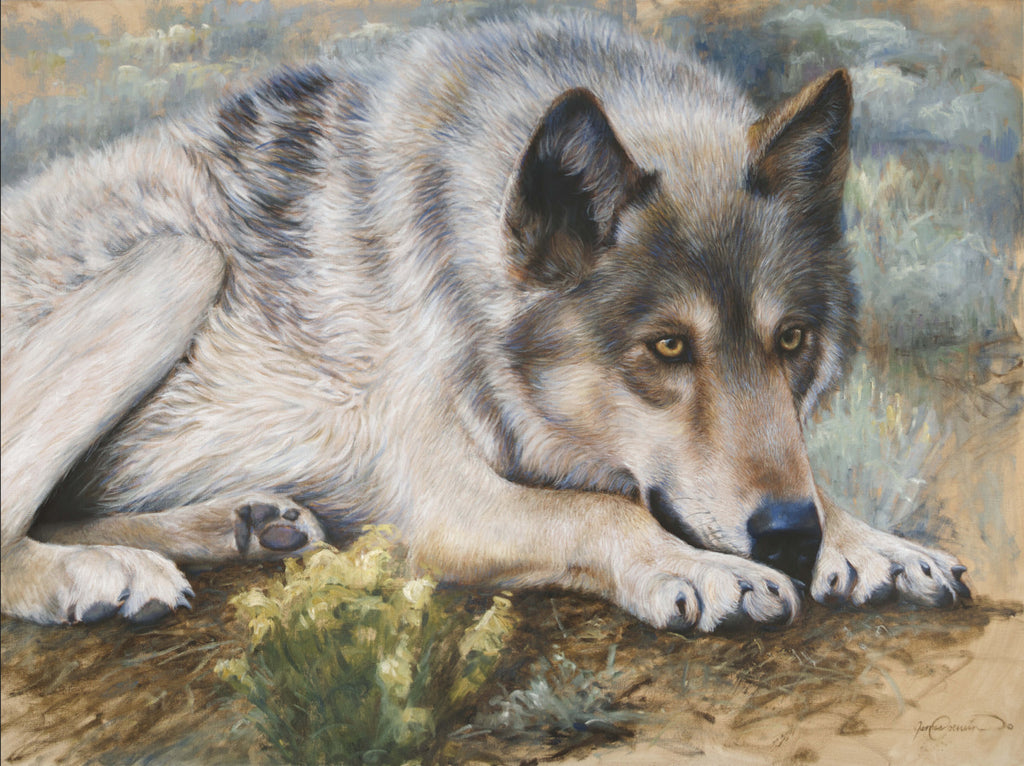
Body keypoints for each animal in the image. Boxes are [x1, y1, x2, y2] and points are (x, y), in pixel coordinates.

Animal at [1, 13, 970, 630]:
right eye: (667, 347)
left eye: (792, 342)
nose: (788, 539)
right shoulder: (441, 503)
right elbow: (602, 517)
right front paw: (702, 572)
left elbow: (803, 477)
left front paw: (871, 545)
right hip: (181, 262)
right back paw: (99, 574)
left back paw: (245, 525)